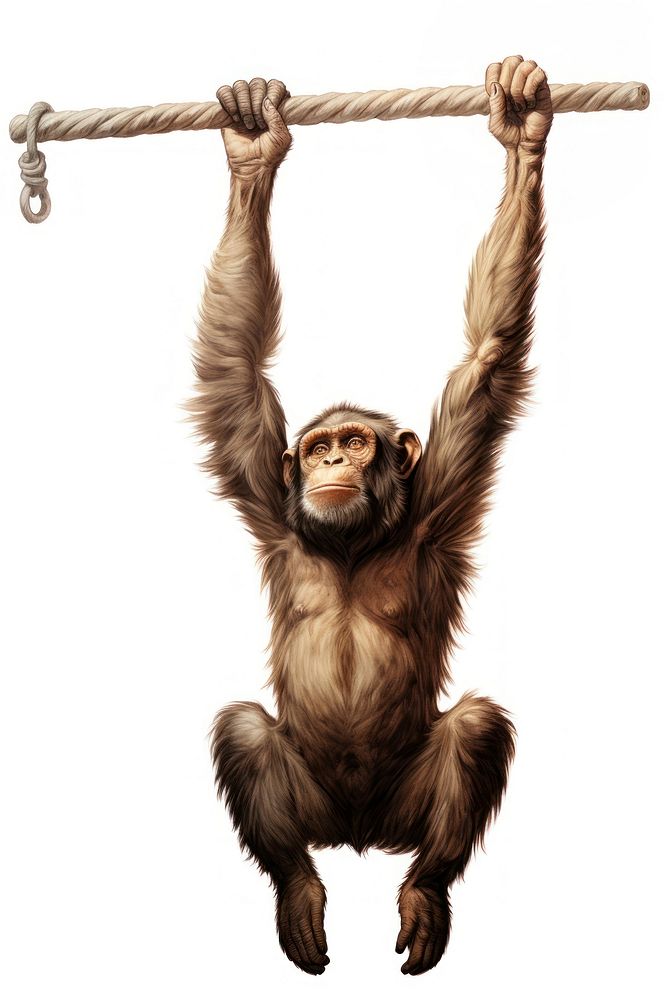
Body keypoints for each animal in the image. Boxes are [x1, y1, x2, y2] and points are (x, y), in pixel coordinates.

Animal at [191, 58, 552, 976]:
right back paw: (298, 891)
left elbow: (488, 352)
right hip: (309, 803)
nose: (330, 463)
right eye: (317, 445)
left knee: (473, 730)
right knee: (245, 731)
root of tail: (355, 835)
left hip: (403, 809)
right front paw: (252, 146)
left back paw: (426, 891)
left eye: (355, 441)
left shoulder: (444, 483)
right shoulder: (267, 486)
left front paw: (520, 128)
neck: (354, 545)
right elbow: (235, 361)